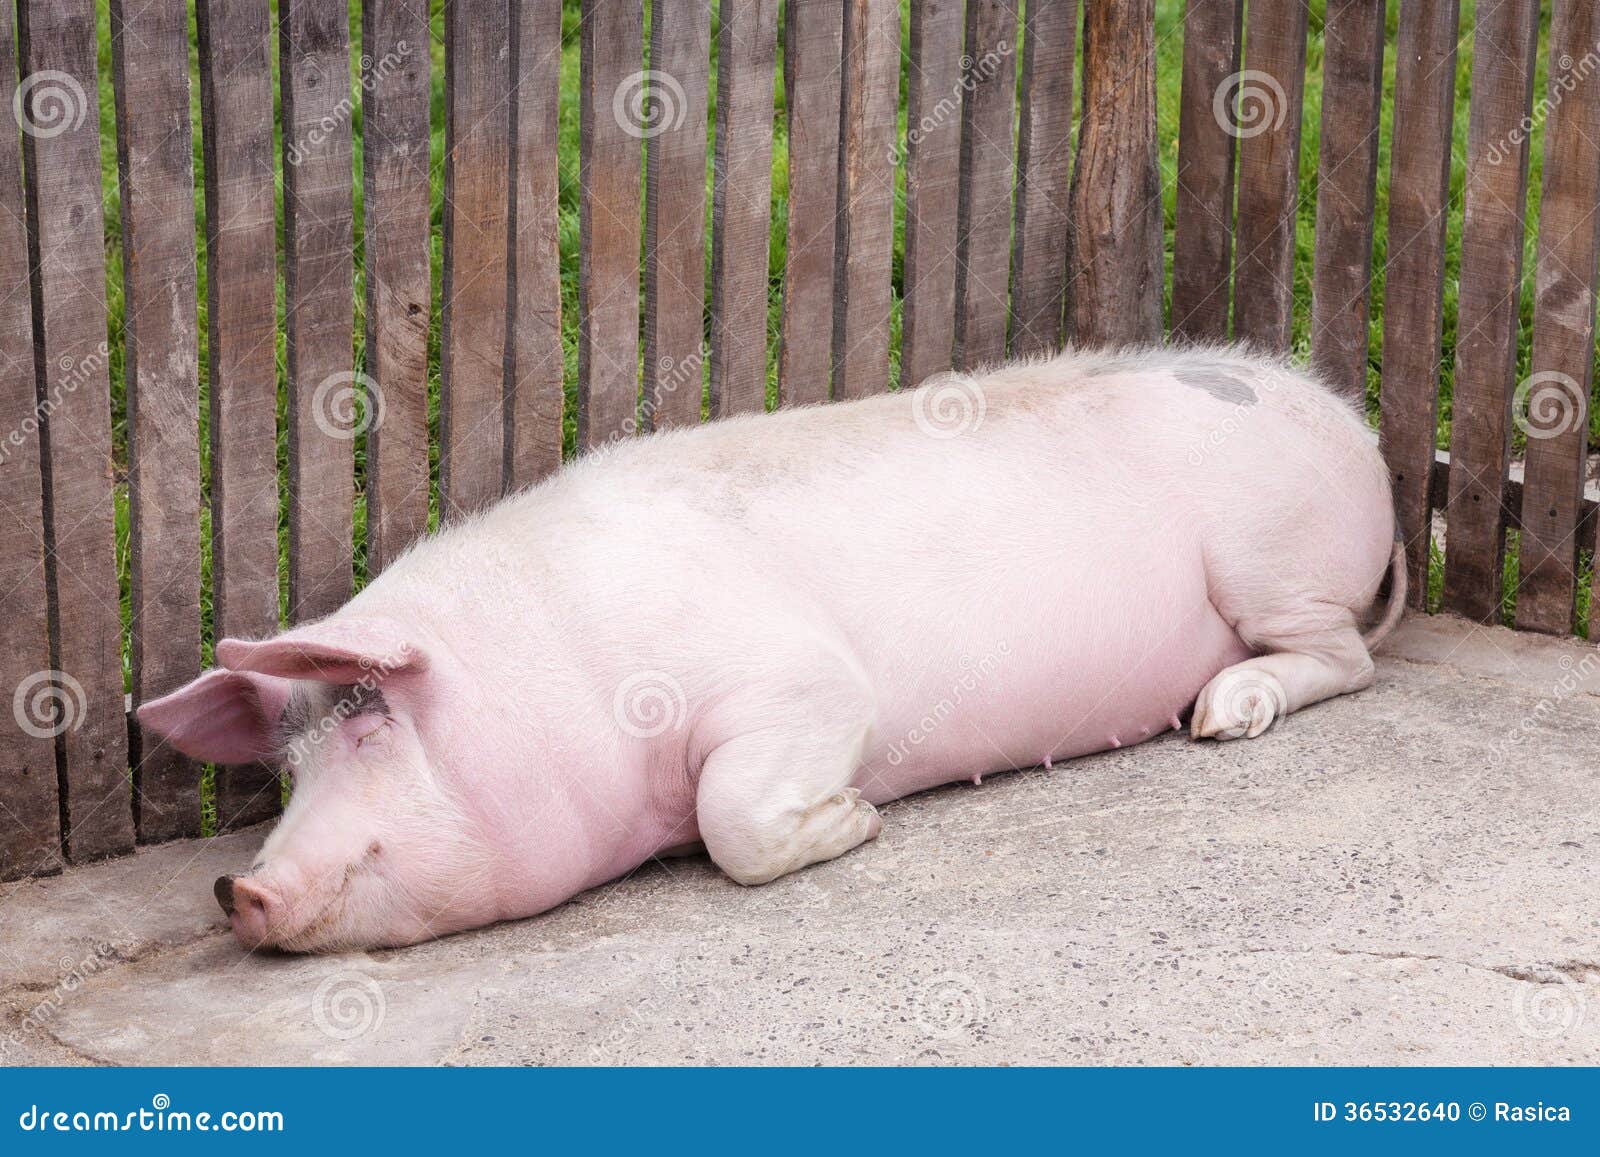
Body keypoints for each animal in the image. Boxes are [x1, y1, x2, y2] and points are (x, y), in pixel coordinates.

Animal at [138, 344, 1404, 952]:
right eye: (287, 765)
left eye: (370, 718)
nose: (238, 884)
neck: (565, 667)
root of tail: (1351, 424)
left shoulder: (805, 685)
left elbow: (733, 813)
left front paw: (856, 820)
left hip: (1270, 562)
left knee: (1344, 659)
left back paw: (1219, 712)